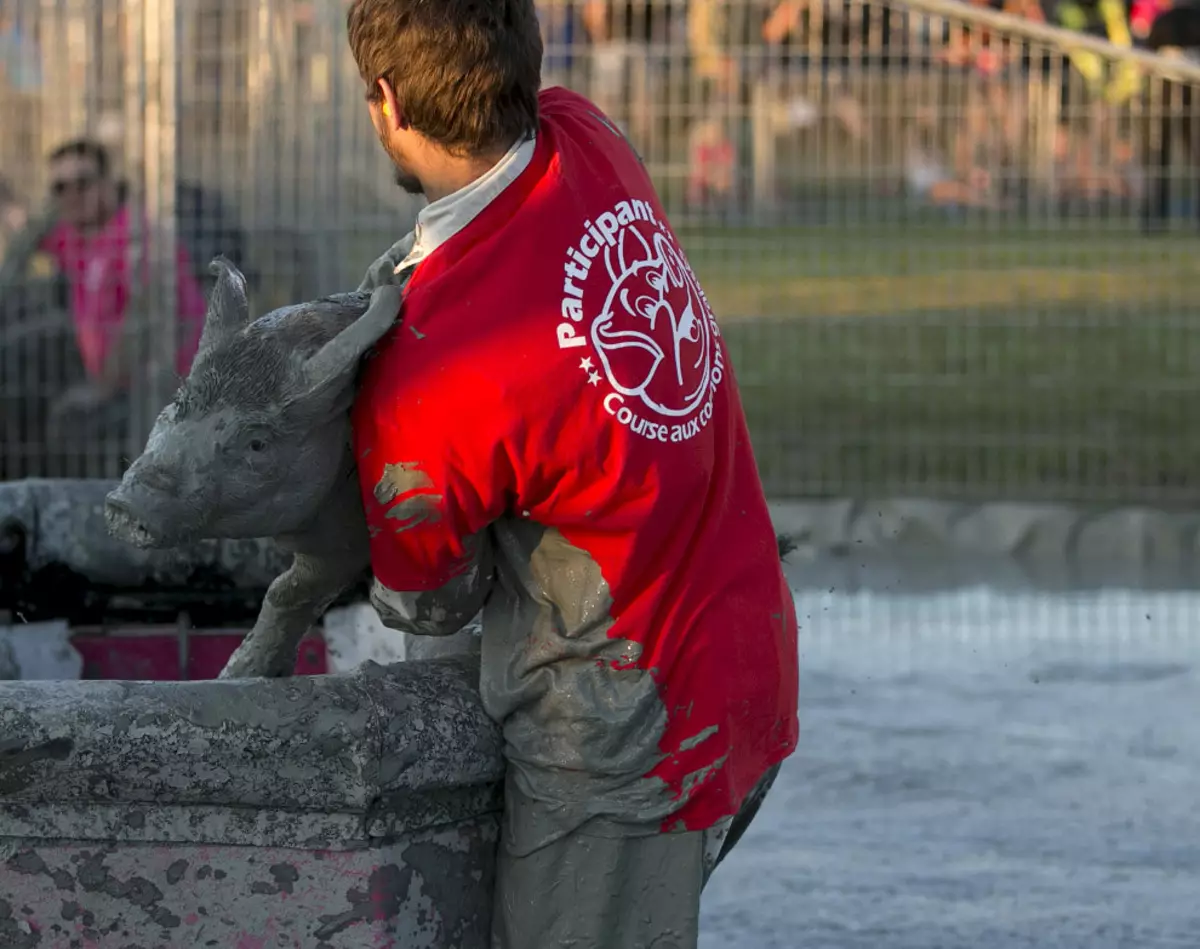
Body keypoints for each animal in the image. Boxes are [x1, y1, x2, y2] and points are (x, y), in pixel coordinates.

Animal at [105, 255, 403, 681]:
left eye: (257, 443)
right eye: (179, 402)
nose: (127, 504)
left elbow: (290, 587)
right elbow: (290, 588)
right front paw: (237, 676)